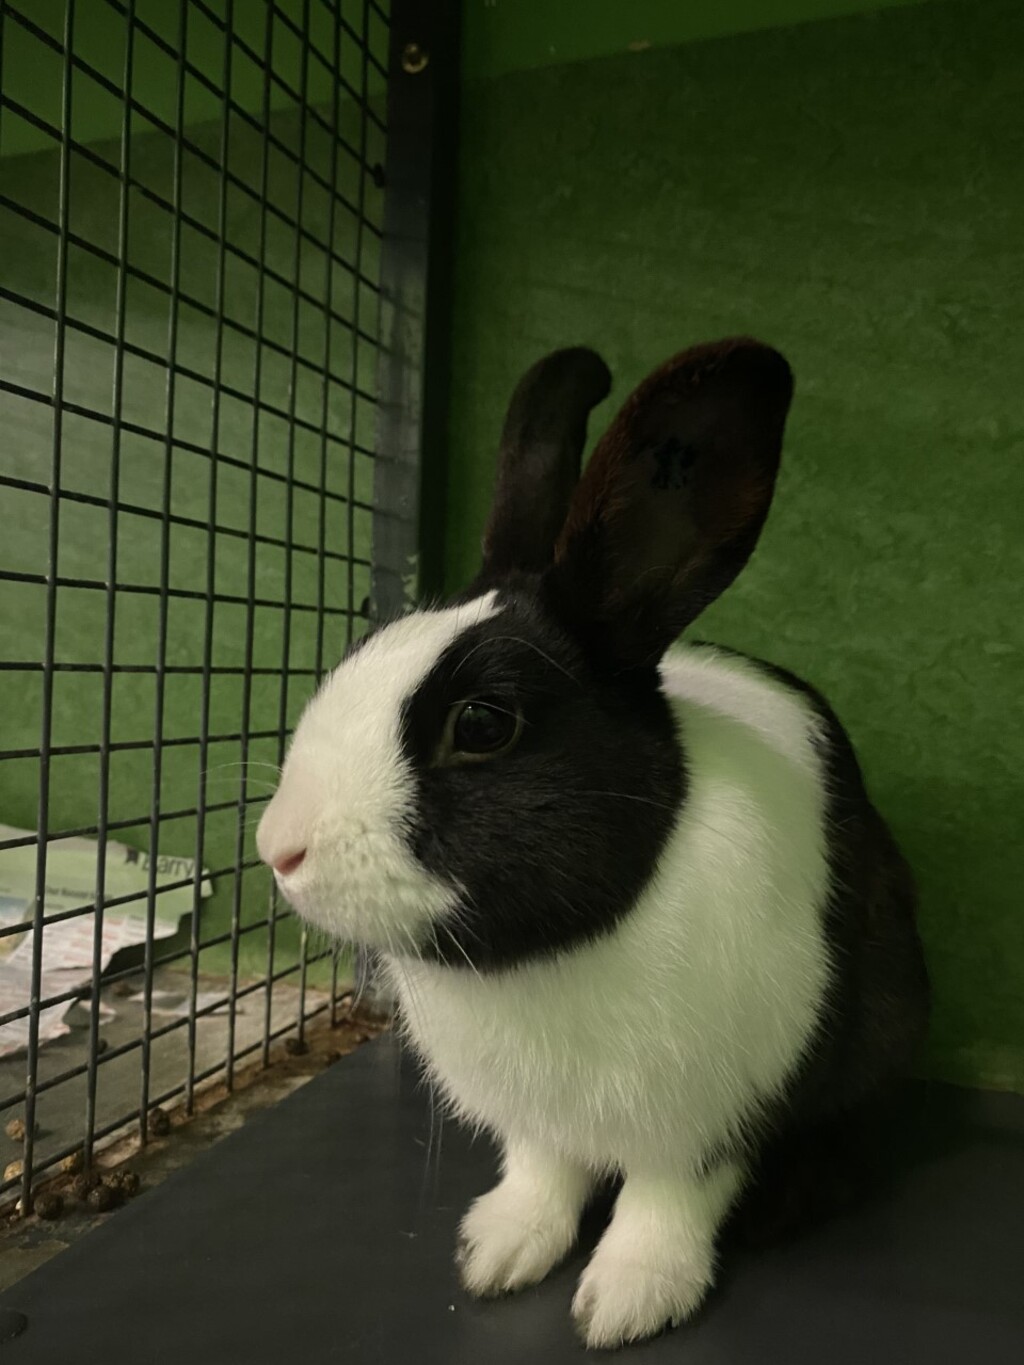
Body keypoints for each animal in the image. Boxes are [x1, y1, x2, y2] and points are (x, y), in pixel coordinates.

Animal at [256, 337, 930, 1350]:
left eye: (482, 723)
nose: (279, 848)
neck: (545, 953)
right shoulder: (540, 1122)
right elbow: (543, 1176)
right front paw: (495, 1253)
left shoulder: (707, 1119)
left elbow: (666, 1203)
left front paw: (625, 1302)